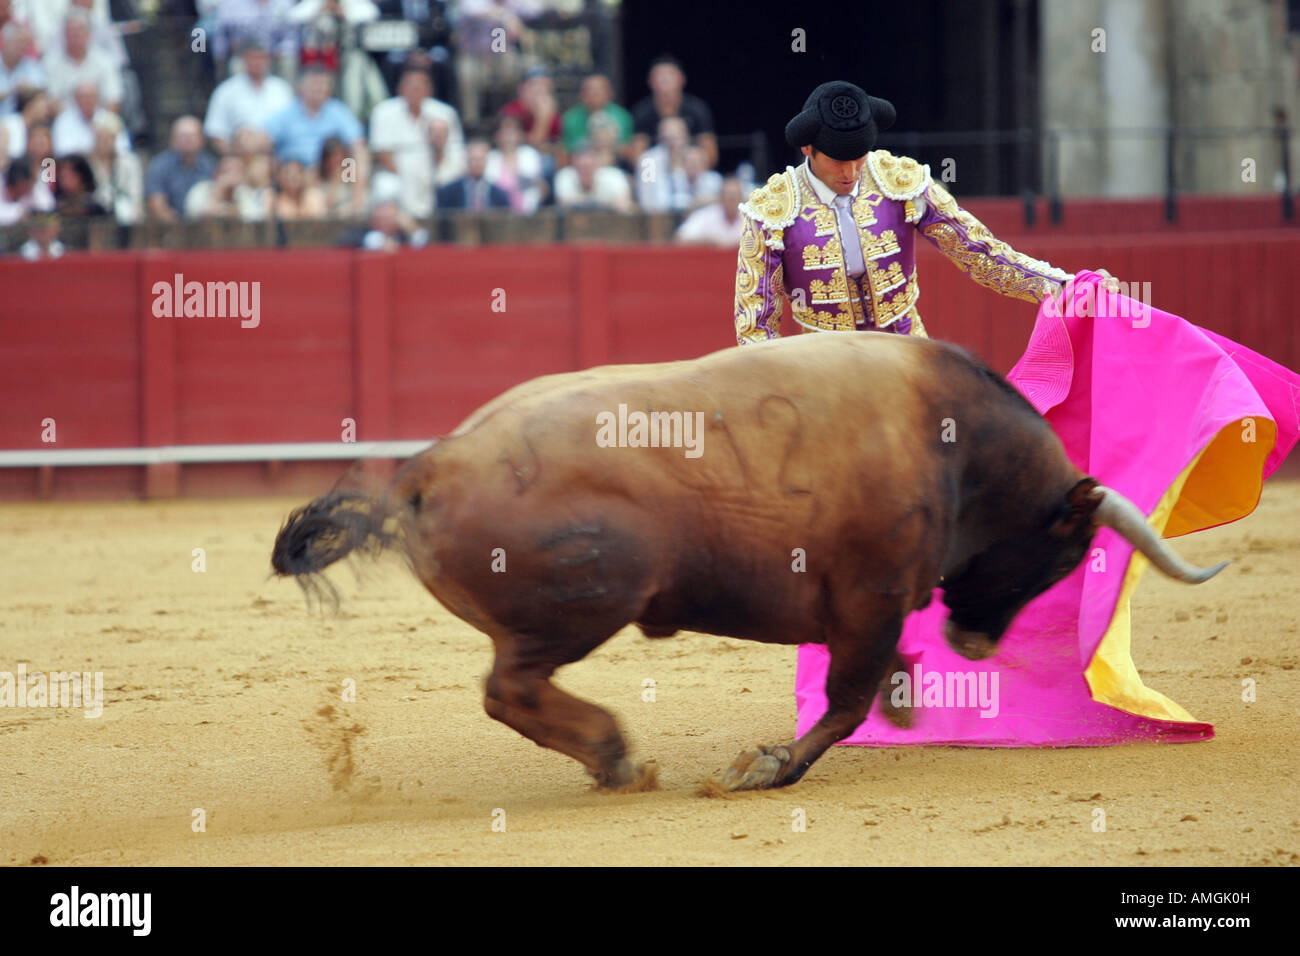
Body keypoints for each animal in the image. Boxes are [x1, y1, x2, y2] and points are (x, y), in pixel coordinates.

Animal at [271, 332, 1227, 791]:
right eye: (1063, 556)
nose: (978, 642)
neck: (955, 441)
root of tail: (430, 467)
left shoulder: (867, 609)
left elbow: (869, 684)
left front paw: (906, 696)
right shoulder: (869, 598)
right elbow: (842, 704)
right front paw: (767, 767)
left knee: (511, 692)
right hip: (584, 608)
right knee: (508, 690)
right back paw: (614, 756)